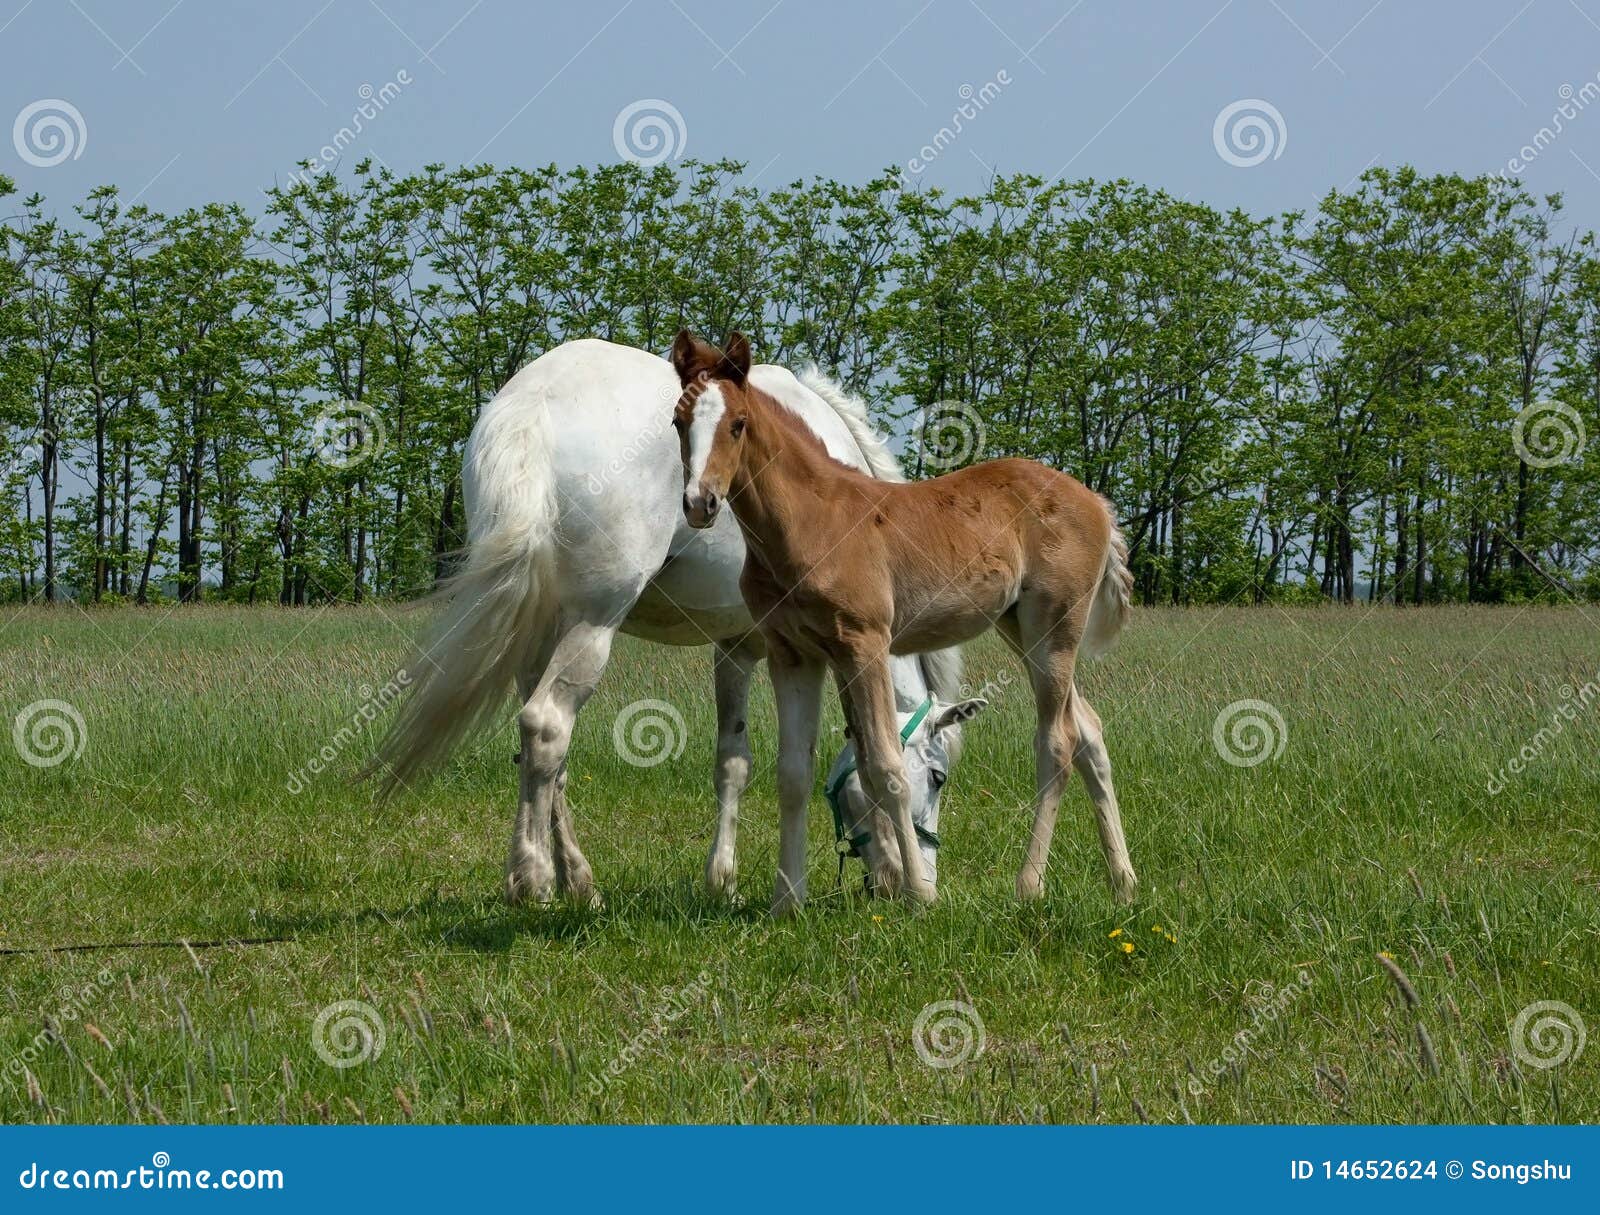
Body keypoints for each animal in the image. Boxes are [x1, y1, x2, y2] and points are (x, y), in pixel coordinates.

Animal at [368, 337, 974, 906]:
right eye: (939, 777)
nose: (926, 877)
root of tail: (533, 403)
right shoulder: (822, 648)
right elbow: (868, 752)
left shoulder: (736, 647)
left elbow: (732, 761)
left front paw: (721, 881)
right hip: (590, 627)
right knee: (545, 727)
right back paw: (532, 880)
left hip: (540, 633)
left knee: (545, 757)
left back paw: (578, 881)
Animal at [669, 330, 1136, 915]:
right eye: (678, 421)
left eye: (738, 424)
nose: (700, 503)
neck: (812, 522)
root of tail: (1096, 501)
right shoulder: (792, 653)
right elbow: (793, 771)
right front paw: (787, 903)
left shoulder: (864, 643)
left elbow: (886, 769)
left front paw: (918, 895)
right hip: (1022, 630)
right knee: (1090, 732)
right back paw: (1123, 882)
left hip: (1055, 629)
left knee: (1057, 741)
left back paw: (1029, 885)